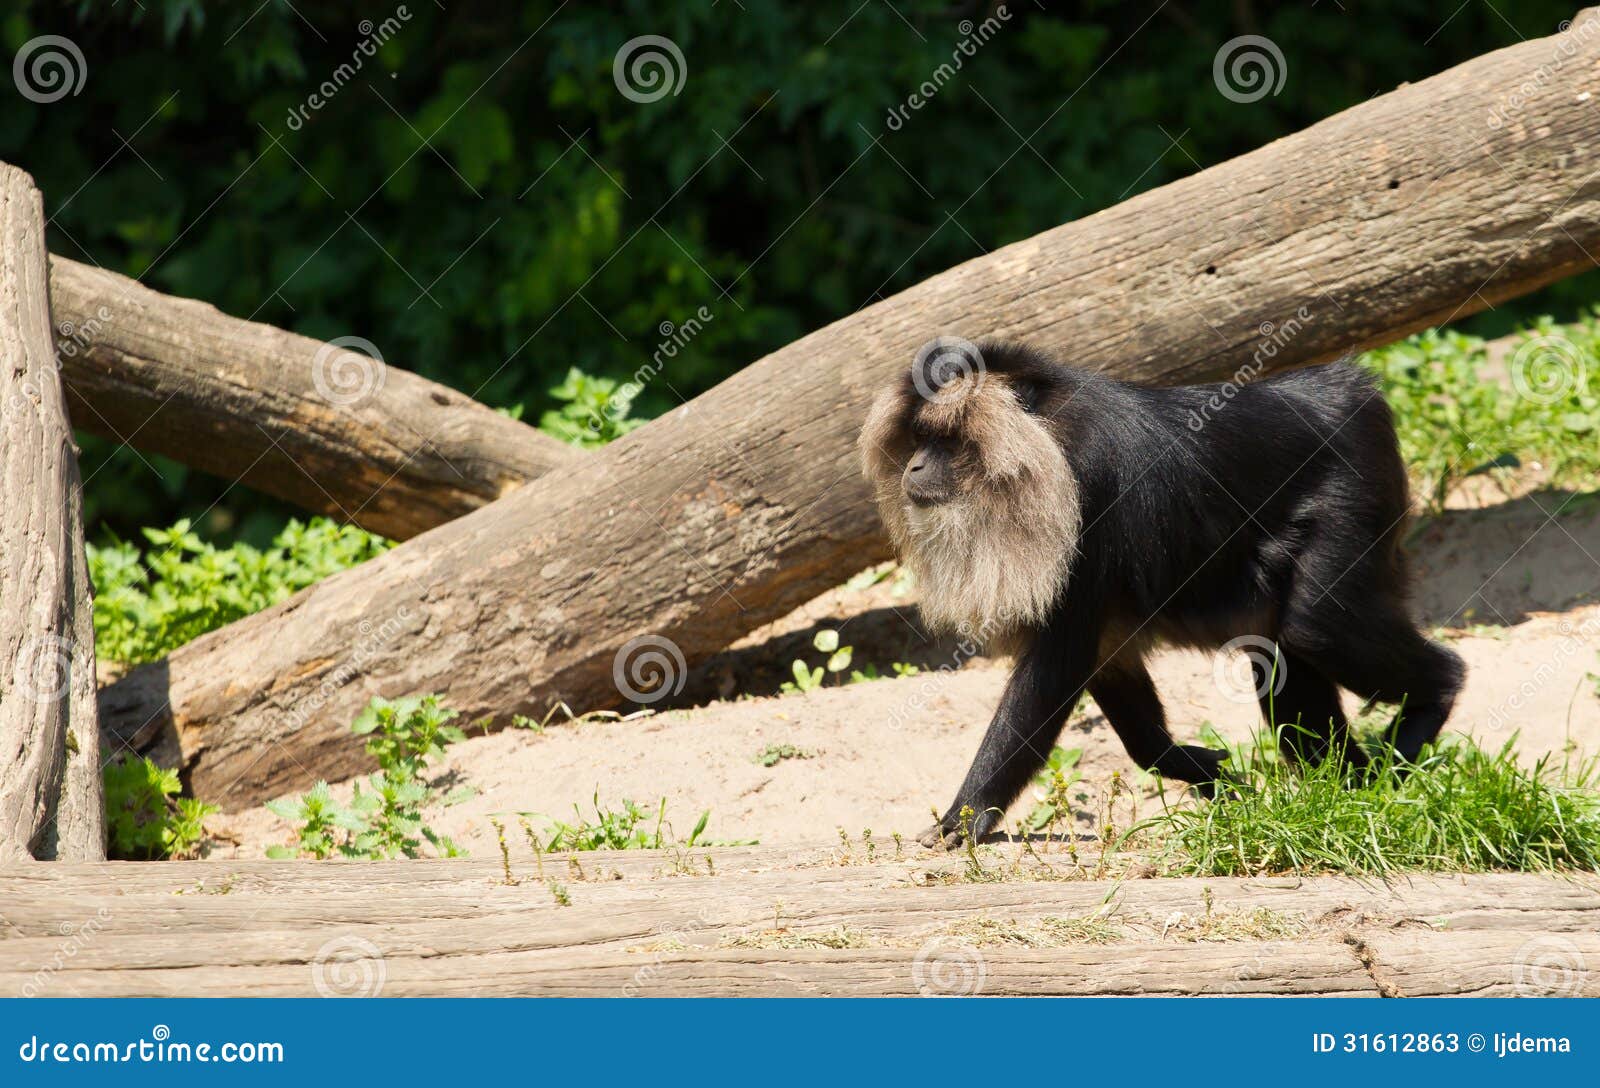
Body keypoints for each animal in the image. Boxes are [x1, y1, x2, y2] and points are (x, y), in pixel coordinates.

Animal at [859, 338, 1465, 848]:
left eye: (948, 442)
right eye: (920, 440)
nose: (914, 465)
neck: (1048, 442)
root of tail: (1342, 387)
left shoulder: (1092, 494)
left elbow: (1059, 663)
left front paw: (964, 817)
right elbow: (1109, 672)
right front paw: (1192, 768)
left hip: (1355, 490)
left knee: (1318, 625)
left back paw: (1435, 698)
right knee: (1282, 650)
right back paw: (1347, 793)